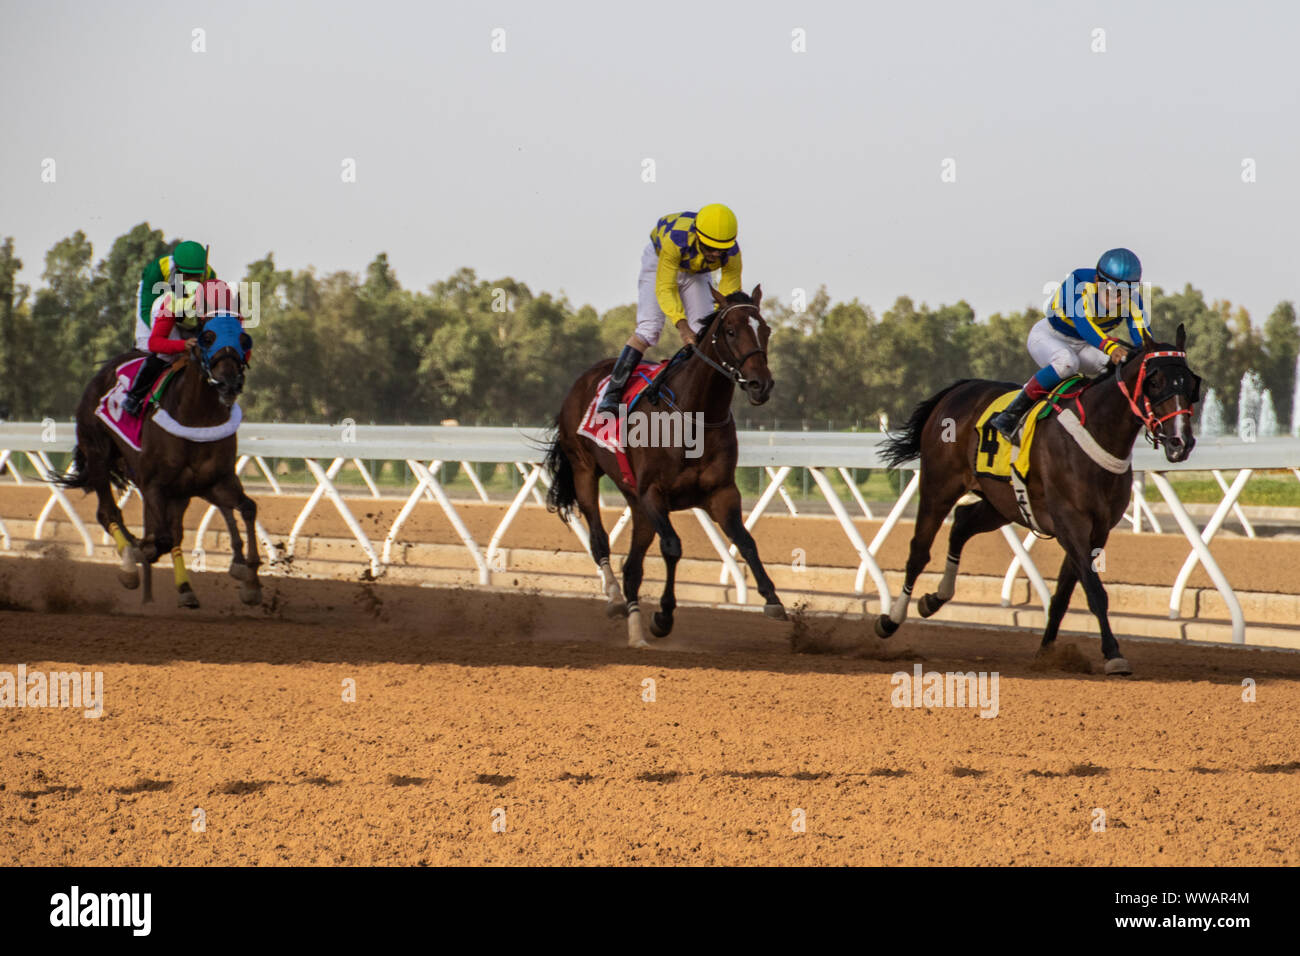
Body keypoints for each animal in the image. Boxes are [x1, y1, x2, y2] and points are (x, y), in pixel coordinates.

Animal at [55, 311, 263, 608]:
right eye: (207, 338)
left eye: (244, 339)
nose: (229, 384)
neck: (197, 418)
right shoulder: (154, 484)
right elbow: (161, 538)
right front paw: (142, 551)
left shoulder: (215, 481)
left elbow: (247, 508)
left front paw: (251, 582)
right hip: (97, 453)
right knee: (108, 512)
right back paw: (131, 565)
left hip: (175, 489)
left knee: (174, 528)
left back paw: (184, 586)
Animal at [542, 286, 787, 647]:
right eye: (731, 331)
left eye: (766, 329)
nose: (761, 384)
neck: (695, 415)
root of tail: (585, 378)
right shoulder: (653, 493)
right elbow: (672, 547)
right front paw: (663, 616)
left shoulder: (721, 493)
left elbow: (746, 541)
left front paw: (772, 599)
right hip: (584, 469)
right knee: (599, 541)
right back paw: (615, 598)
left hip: (636, 502)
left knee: (633, 568)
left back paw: (636, 634)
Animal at [874, 324, 1202, 674]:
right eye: (1155, 381)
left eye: (1191, 383)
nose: (1181, 441)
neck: (1097, 431)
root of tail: (956, 390)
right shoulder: (1071, 522)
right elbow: (1095, 591)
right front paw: (1113, 653)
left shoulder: (1097, 529)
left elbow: (1065, 593)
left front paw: (1047, 652)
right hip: (939, 487)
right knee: (918, 552)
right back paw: (891, 620)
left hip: (1001, 503)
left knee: (961, 524)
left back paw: (934, 599)